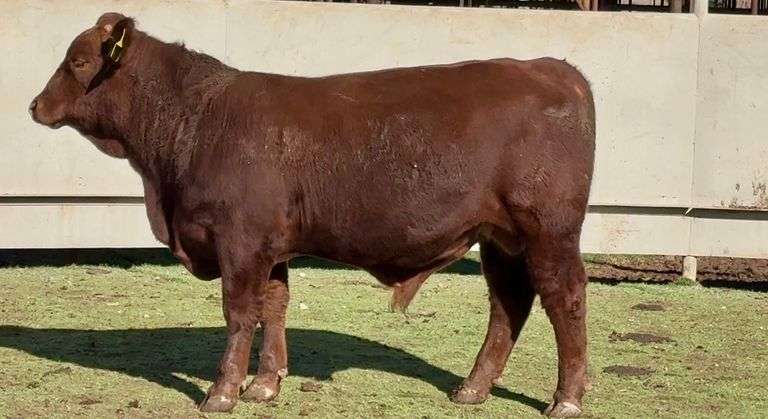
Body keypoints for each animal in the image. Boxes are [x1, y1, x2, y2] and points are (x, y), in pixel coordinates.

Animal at [30, 13, 595, 417]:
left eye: (78, 61)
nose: (35, 105)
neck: (193, 121)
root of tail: (552, 67)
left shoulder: (240, 240)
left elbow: (240, 312)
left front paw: (222, 392)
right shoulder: (271, 245)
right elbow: (274, 307)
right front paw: (264, 385)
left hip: (549, 230)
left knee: (564, 297)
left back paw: (566, 398)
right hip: (500, 237)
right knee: (508, 304)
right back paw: (472, 388)